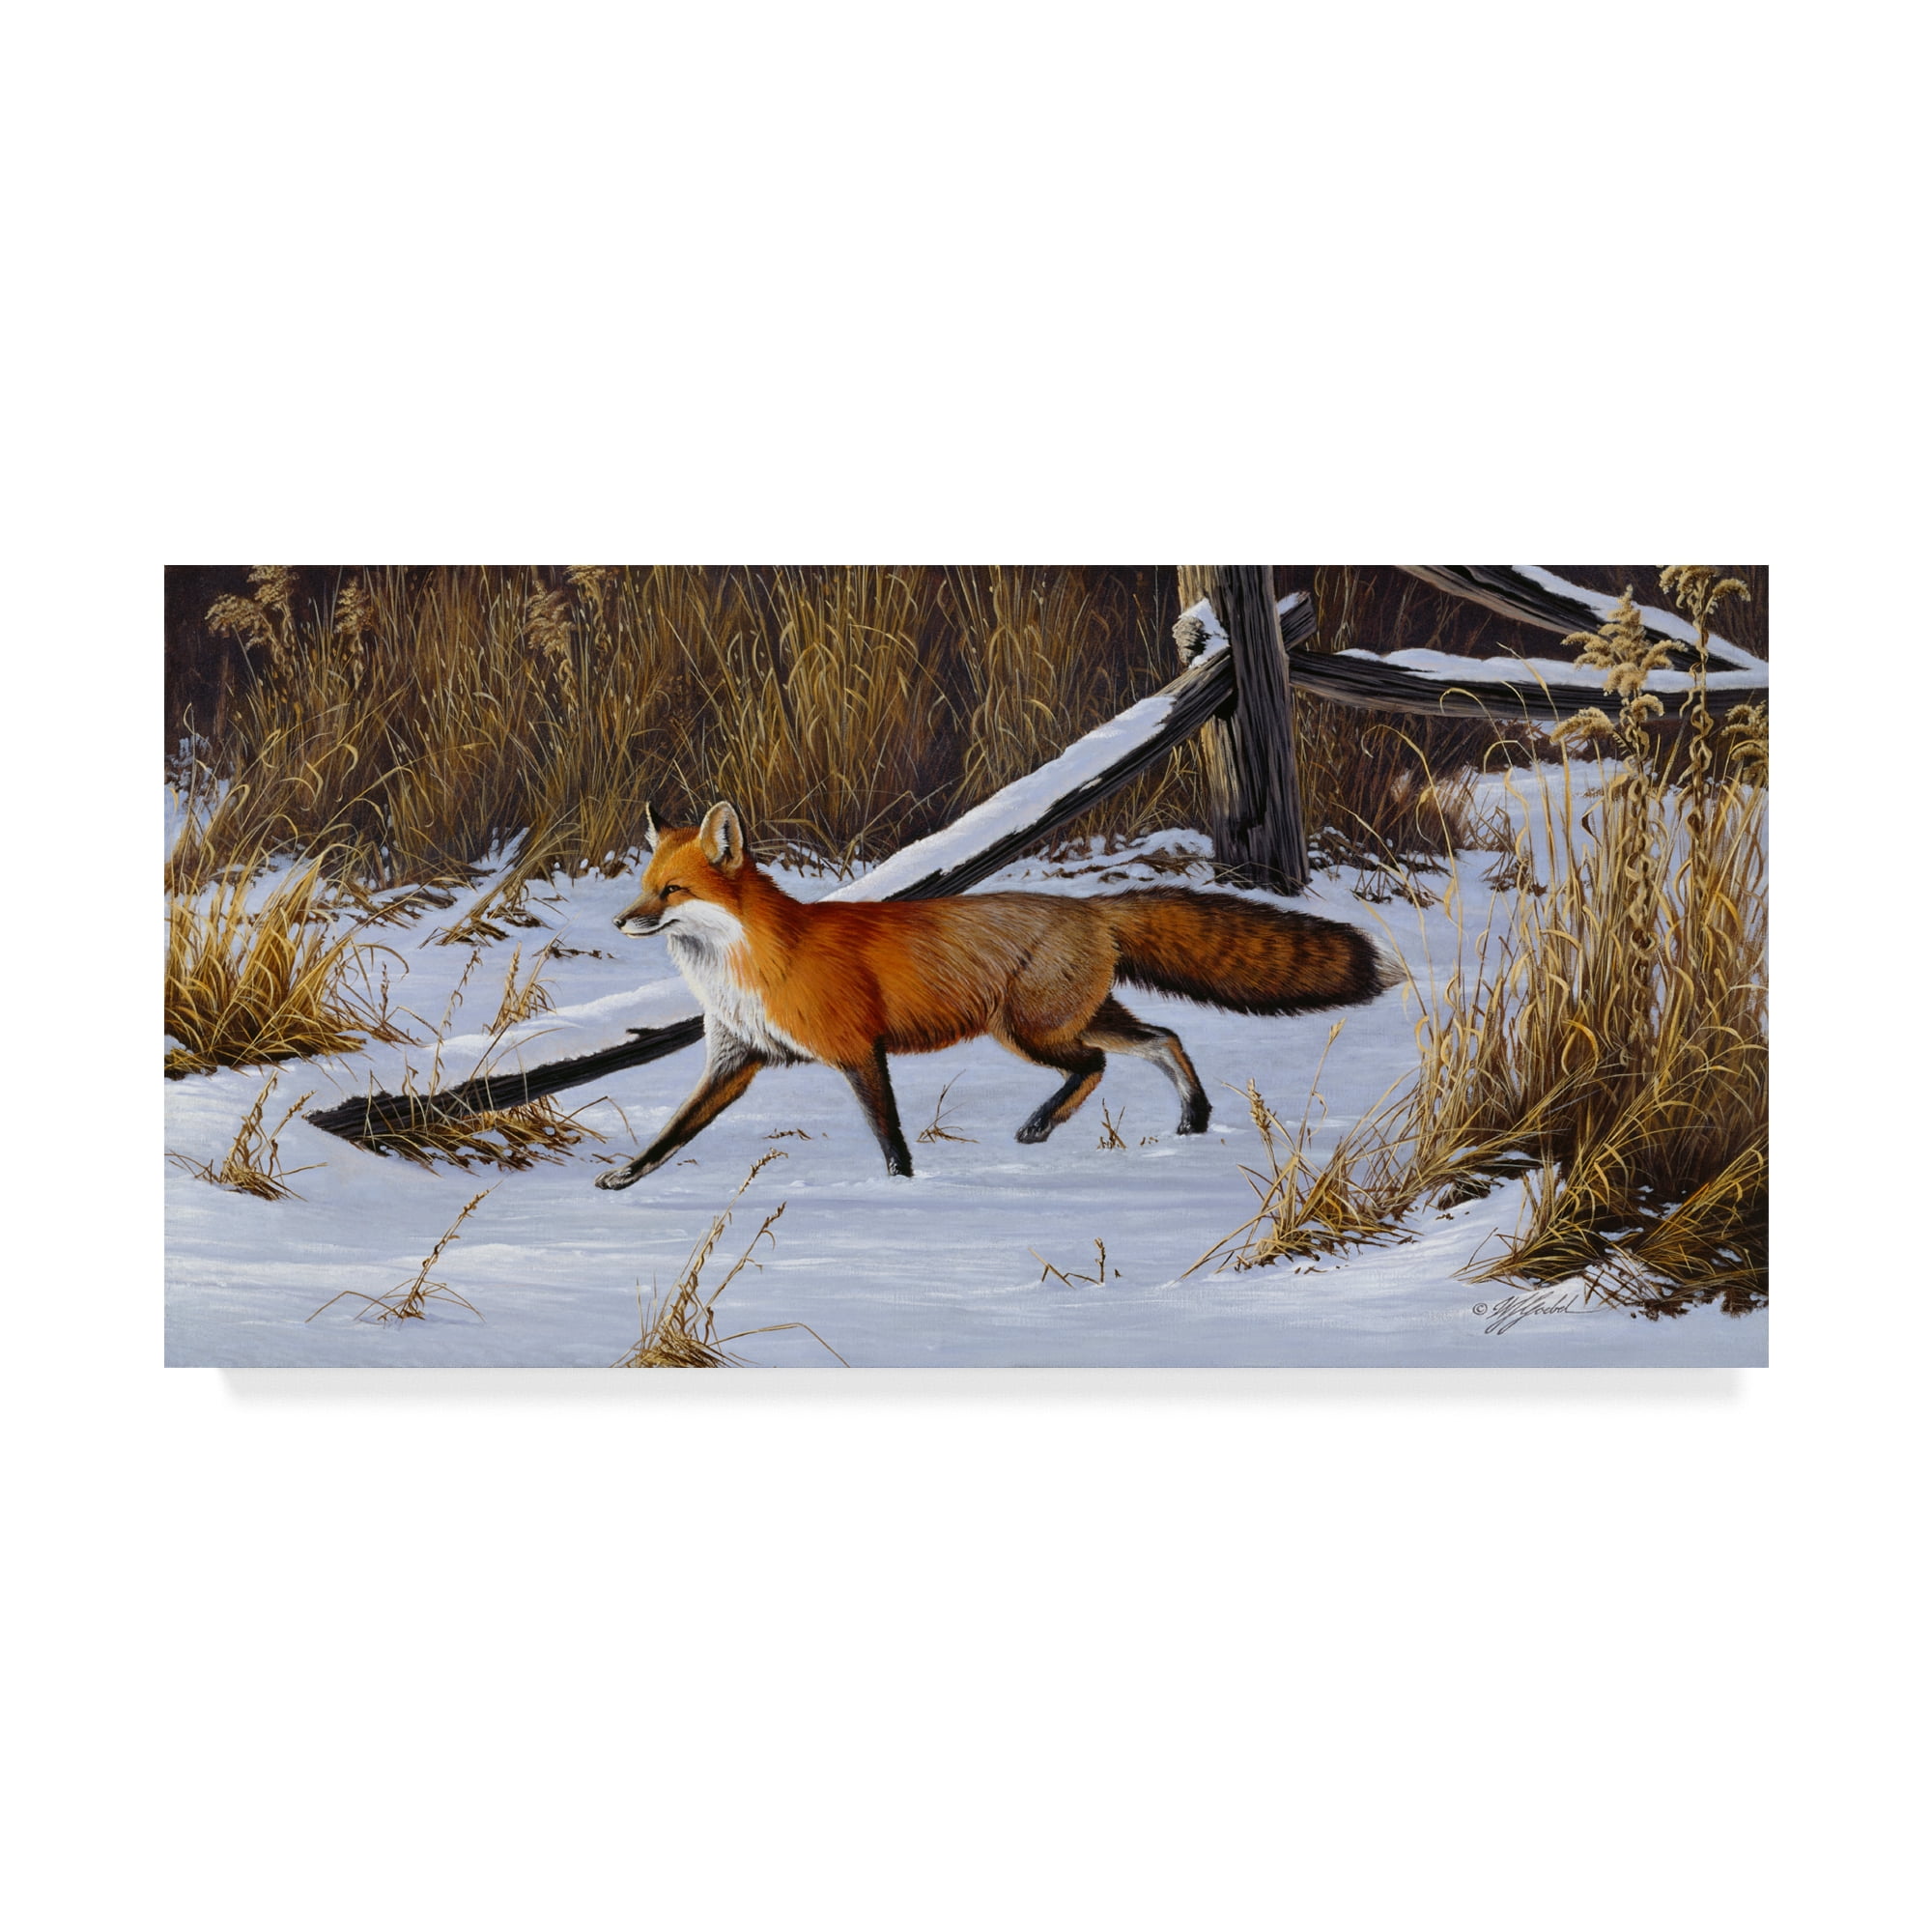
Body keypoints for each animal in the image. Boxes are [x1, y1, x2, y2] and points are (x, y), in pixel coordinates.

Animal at [593, 801, 1404, 1191]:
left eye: (671, 891)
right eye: (641, 886)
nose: (619, 919)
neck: (751, 963)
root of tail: (1089, 908)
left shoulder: (858, 1051)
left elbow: (889, 1136)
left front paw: (901, 1191)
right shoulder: (736, 1060)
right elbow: (672, 1133)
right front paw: (625, 1179)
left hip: (1029, 1032)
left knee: (1098, 1066)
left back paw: (1043, 1125)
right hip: (1080, 1019)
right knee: (1165, 1039)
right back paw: (1193, 1121)